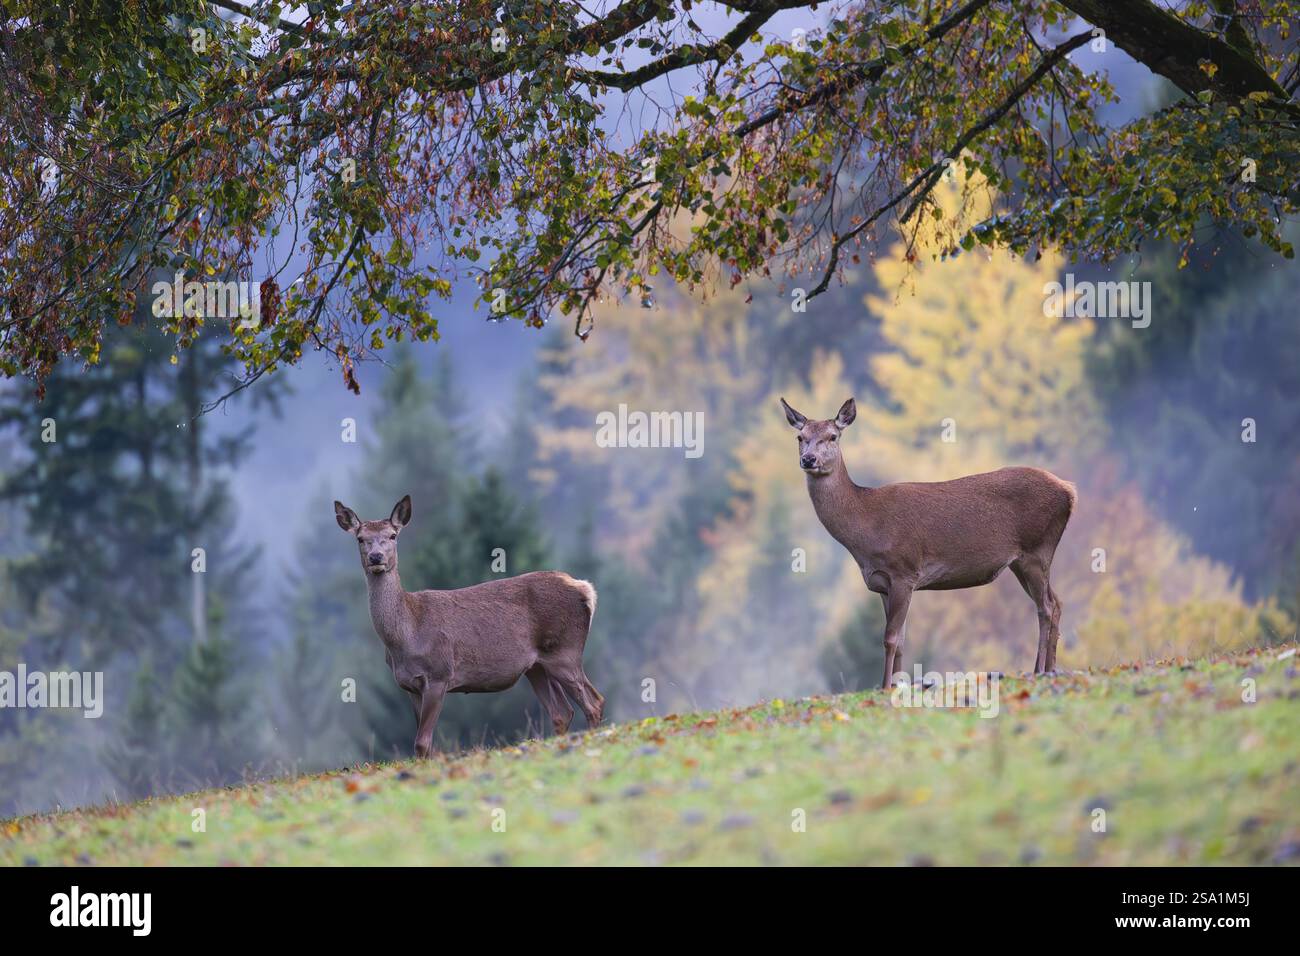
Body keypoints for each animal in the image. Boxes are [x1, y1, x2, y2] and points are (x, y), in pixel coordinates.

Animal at [334, 495, 604, 757]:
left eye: (392, 535)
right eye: (360, 538)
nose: (376, 557)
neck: (406, 635)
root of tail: (585, 589)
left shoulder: (439, 674)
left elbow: (421, 743)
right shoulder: (409, 685)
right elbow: (426, 745)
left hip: (564, 650)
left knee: (594, 702)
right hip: (537, 666)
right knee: (562, 712)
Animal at [780, 397, 1077, 690]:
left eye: (832, 436)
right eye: (800, 437)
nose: (808, 459)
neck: (866, 529)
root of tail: (1069, 491)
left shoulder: (904, 571)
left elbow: (890, 638)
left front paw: (885, 686)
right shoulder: (882, 583)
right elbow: (900, 640)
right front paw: (896, 684)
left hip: (1037, 549)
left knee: (1046, 607)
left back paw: (1039, 670)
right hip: (1022, 561)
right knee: (1058, 602)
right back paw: (1050, 668)